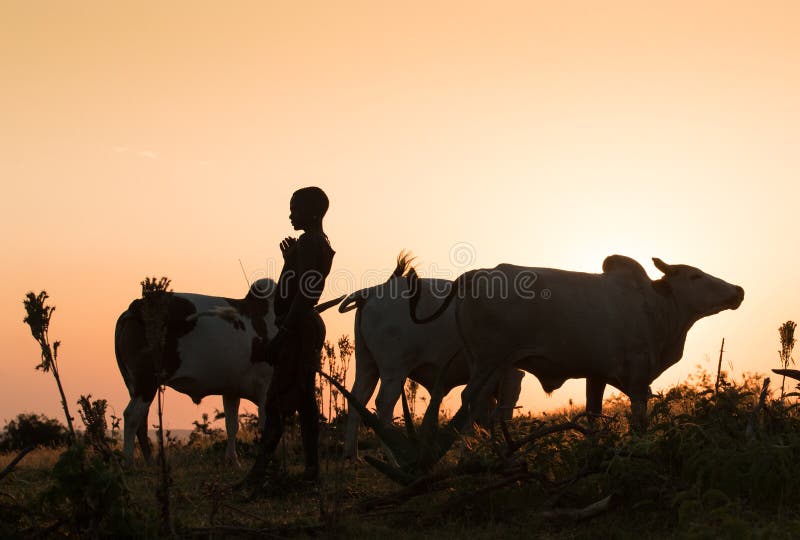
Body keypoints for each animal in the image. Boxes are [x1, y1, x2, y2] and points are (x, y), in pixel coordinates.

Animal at [339, 253, 524, 459]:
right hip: (394, 369)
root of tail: (372, 291)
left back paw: (351, 455)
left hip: (366, 364)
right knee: (384, 404)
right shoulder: (501, 374)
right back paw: (394, 457)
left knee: (357, 399)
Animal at [410, 255, 744, 429]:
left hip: (488, 365)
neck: (658, 308)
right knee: (471, 402)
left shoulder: (597, 375)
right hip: (488, 363)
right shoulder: (637, 379)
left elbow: (593, 418)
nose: (737, 290)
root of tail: (472, 275)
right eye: (695, 276)